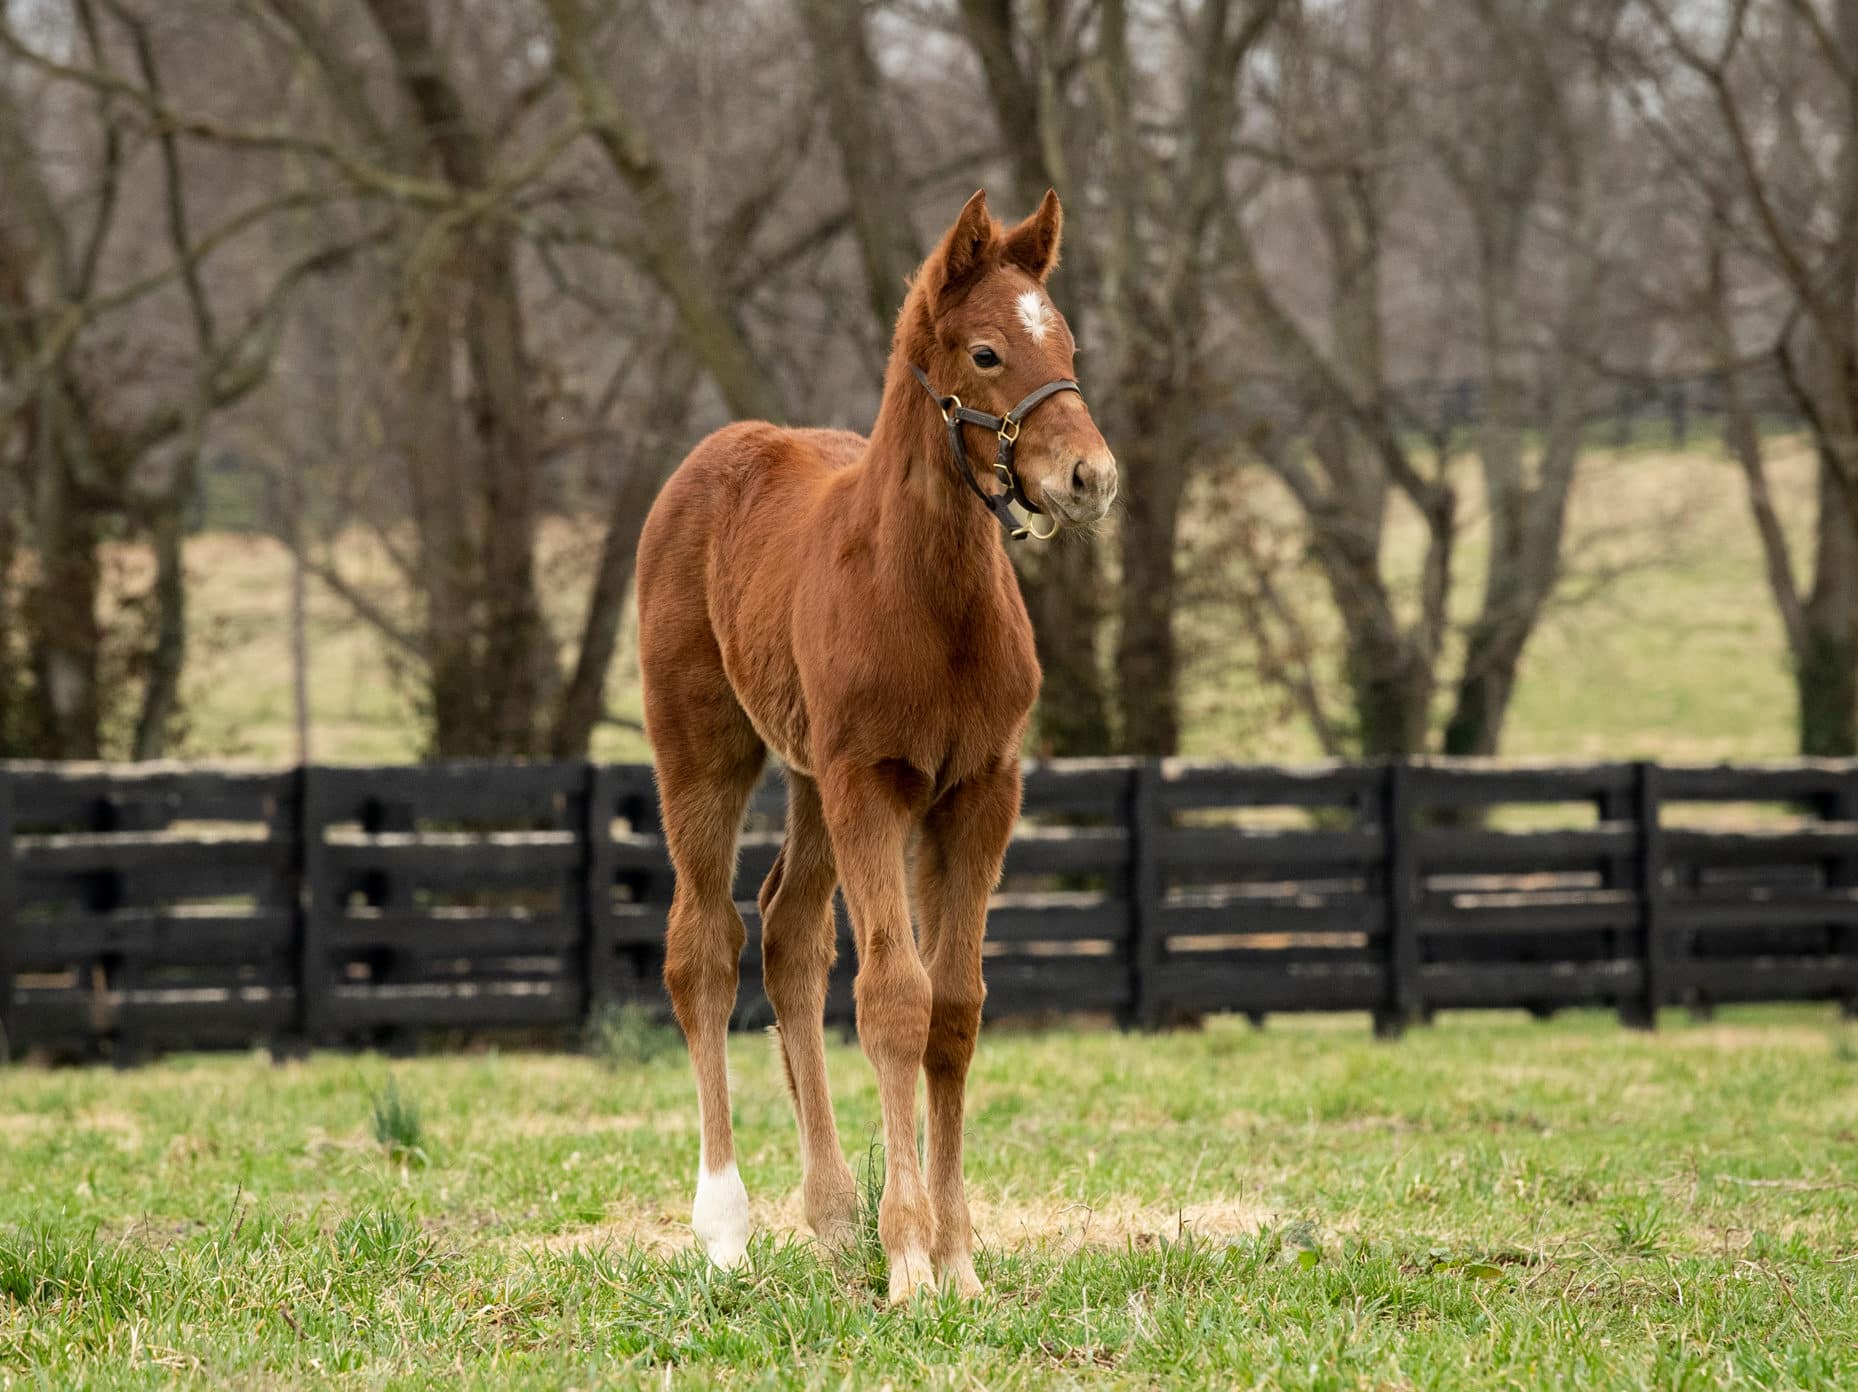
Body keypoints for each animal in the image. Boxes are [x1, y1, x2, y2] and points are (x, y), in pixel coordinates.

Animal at [634, 188, 1116, 1303]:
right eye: (986, 353)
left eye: (1068, 344)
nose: (1092, 477)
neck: (930, 598)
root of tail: (716, 454)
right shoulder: (875, 785)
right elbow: (894, 999)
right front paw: (908, 1265)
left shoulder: (979, 792)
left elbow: (955, 1008)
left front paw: (958, 1259)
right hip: (707, 750)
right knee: (704, 946)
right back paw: (724, 1227)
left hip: (811, 776)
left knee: (788, 938)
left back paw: (828, 1214)